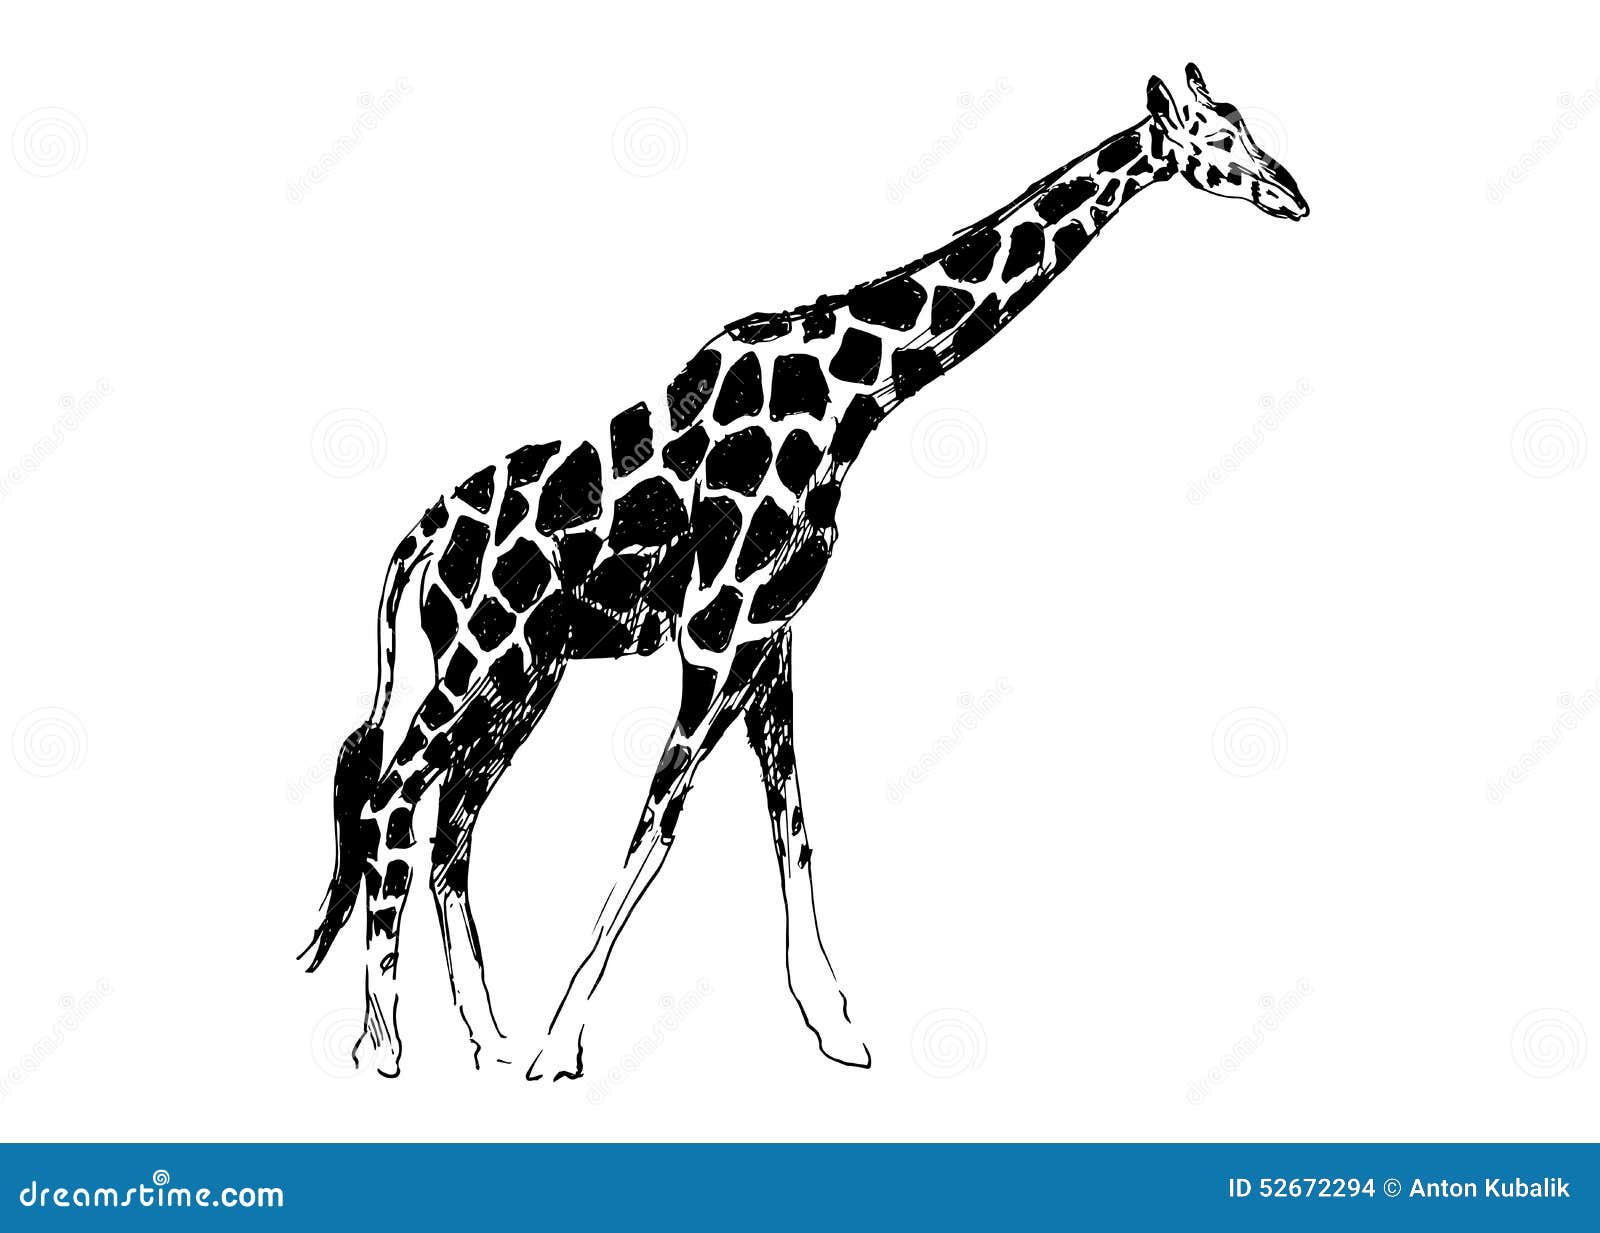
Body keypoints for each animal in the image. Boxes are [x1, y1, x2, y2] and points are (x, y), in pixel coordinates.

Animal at [302, 64, 1309, 1079]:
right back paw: (385, 1043)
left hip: (525, 676)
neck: (849, 395)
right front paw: (562, 1044)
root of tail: (418, 537)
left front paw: (835, 1026)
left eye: (1245, 123)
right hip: (479, 654)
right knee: (392, 797)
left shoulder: (769, 637)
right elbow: (654, 828)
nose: (1293, 195)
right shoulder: (714, 636)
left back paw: (488, 1038)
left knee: (450, 825)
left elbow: (793, 831)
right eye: (1216, 139)